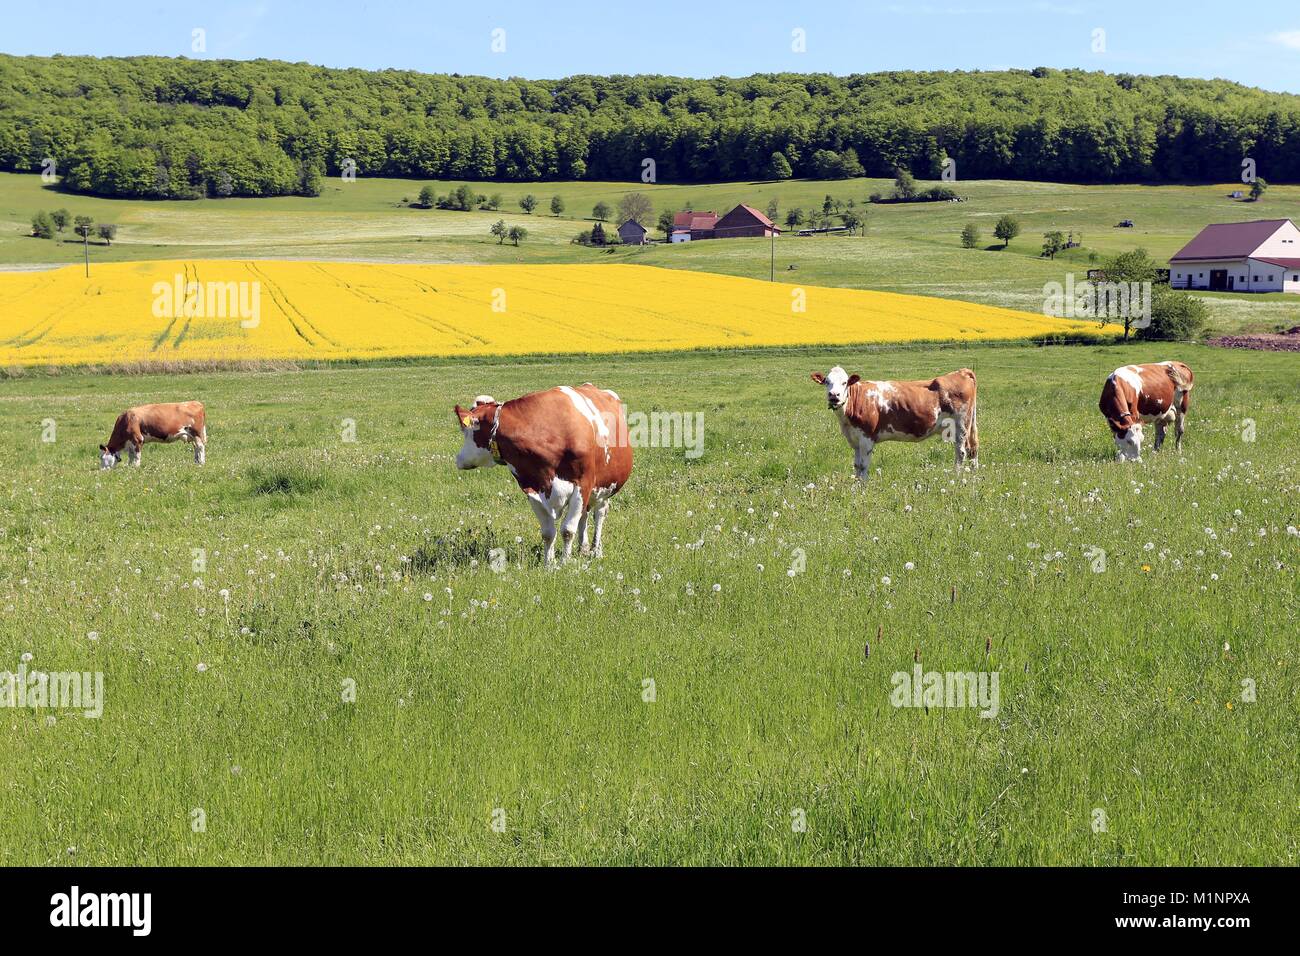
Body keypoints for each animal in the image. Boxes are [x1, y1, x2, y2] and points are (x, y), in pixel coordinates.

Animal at [454, 384, 633, 566]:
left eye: (465, 431)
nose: (458, 459)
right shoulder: (532, 489)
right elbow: (548, 532)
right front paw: (549, 564)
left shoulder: (583, 485)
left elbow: (568, 530)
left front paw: (564, 562)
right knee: (584, 514)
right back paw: (583, 549)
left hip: (604, 488)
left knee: (599, 514)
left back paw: (596, 550)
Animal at [812, 366, 978, 479]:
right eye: (826, 382)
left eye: (845, 382)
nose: (834, 395)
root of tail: (961, 372)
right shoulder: (855, 439)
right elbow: (857, 466)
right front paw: (856, 488)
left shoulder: (867, 437)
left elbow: (864, 466)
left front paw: (862, 491)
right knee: (973, 448)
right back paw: (974, 475)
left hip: (961, 425)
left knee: (961, 452)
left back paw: (956, 477)